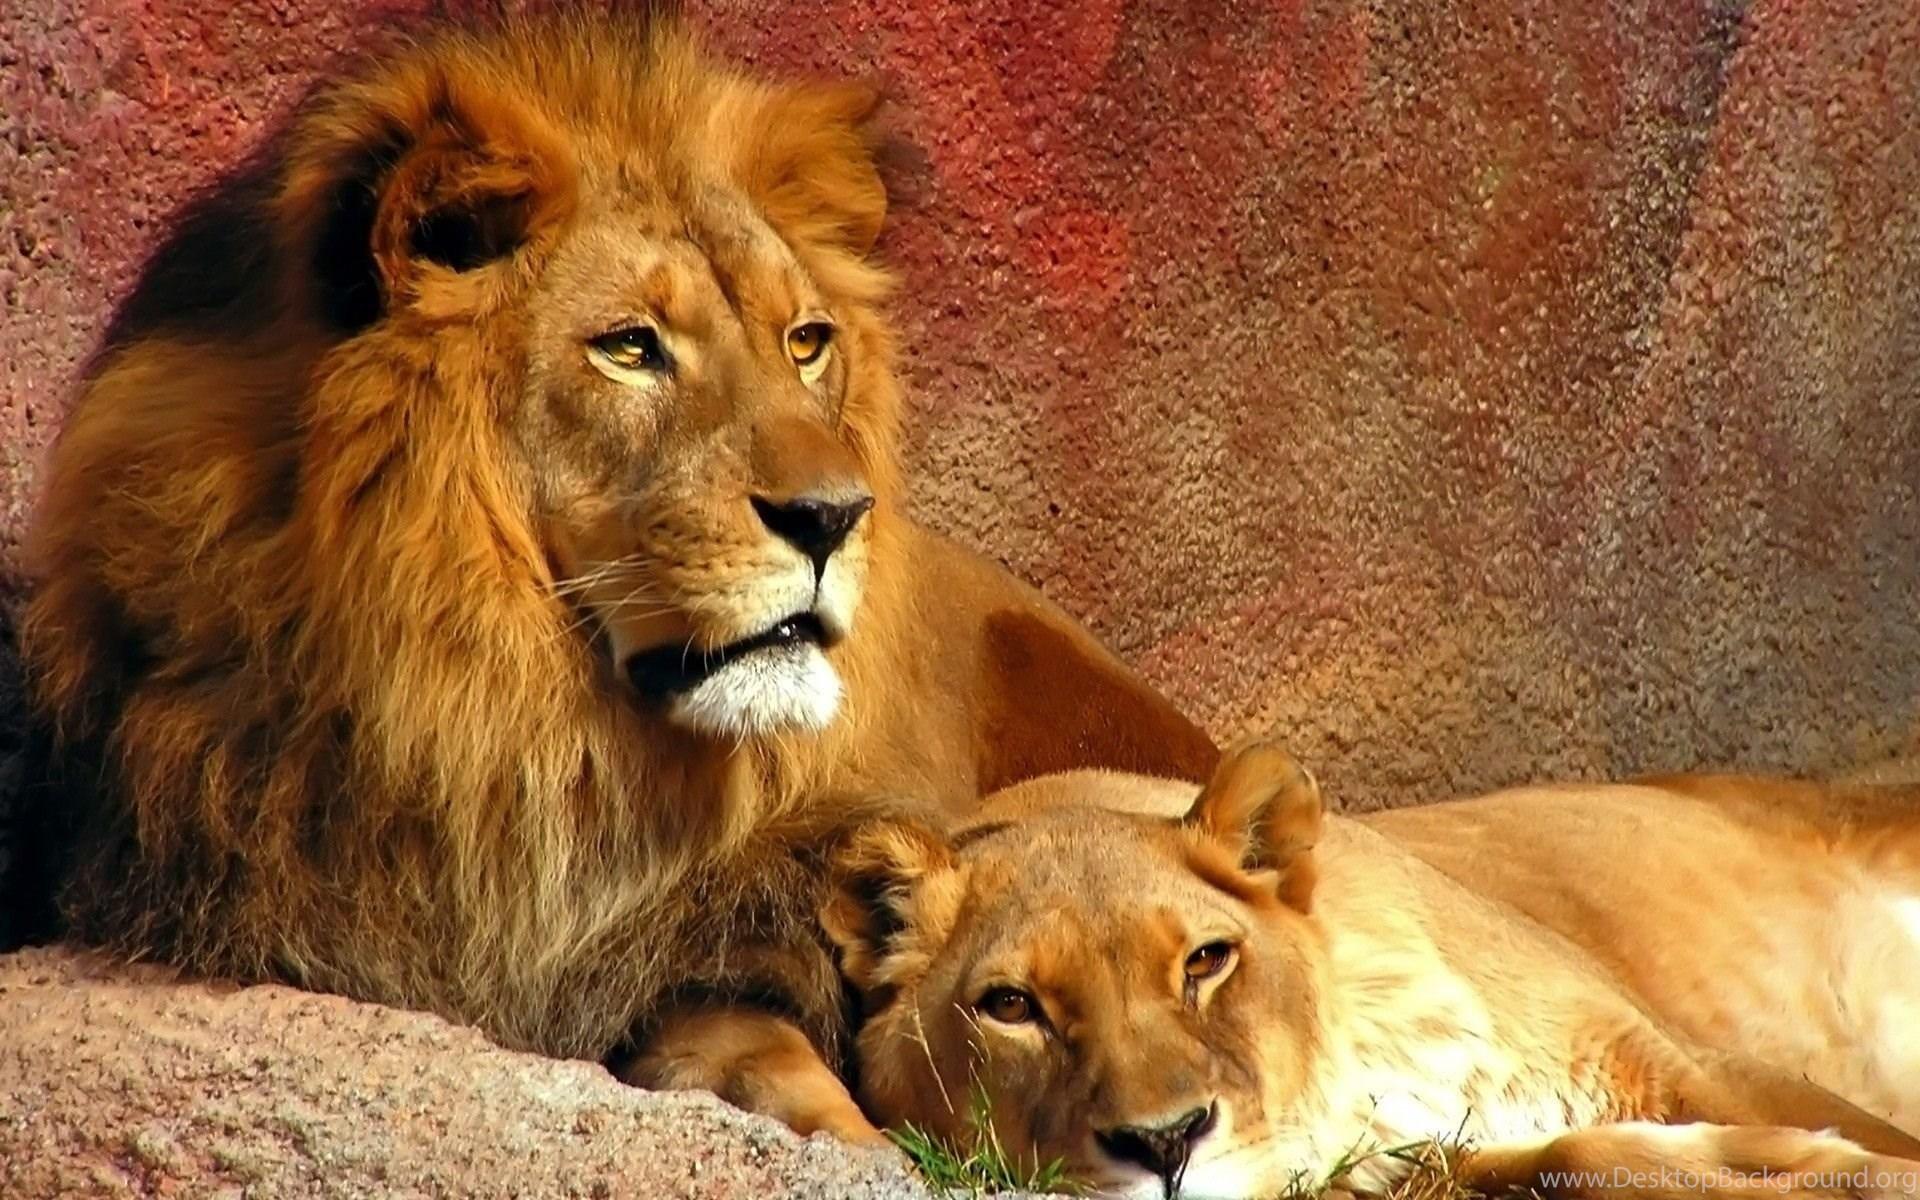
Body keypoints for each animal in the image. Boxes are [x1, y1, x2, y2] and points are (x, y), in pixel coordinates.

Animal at [823, 742, 1920, 1196]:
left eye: (1206, 961)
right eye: (1011, 1007)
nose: (1166, 1144)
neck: (1372, 1059)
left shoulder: (1674, 1057)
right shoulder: (1440, 1161)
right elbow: (1586, 1160)